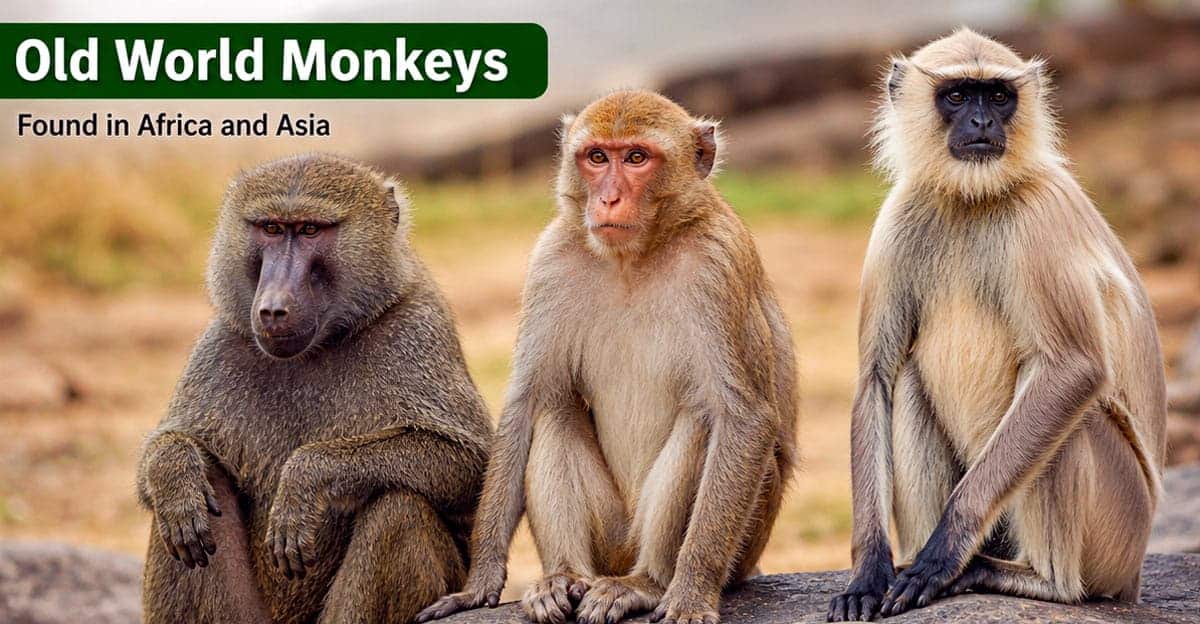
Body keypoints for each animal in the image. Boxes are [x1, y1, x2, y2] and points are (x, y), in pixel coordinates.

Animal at [136, 153, 492, 624]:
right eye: (271, 228)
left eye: (310, 230)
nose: (273, 309)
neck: (322, 343)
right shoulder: (222, 342)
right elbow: (157, 463)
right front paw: (173, 477)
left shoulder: (419, 328)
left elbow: (472, 463)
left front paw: (304, 480)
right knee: (197, 491)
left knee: (399, 508)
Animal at [415, 90, 798, 624]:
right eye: (597, 157)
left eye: (636, 158)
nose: (609, 199)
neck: (631, 259)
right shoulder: (551, 260)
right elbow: (525, 405)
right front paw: (479, 583)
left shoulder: (718, 265)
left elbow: (744, 416)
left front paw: (691, 592)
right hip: (610, 541)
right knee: (554, 409)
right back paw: (564, 577)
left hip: (744, 538)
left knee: (702, 418)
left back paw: (647, 583)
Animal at [827, 29, 1167, 621]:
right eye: (959, 96)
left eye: (999, 96)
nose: (983, 122)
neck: (973, 197)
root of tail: (1134, 577)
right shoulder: (897, 217)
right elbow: (876, 378)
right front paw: (868, 569)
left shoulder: (1041, 214)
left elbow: (1074, 369)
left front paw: (941, 556)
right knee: (908, 381)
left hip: (1121, 526)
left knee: (1073, 413)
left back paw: (1031, 579)